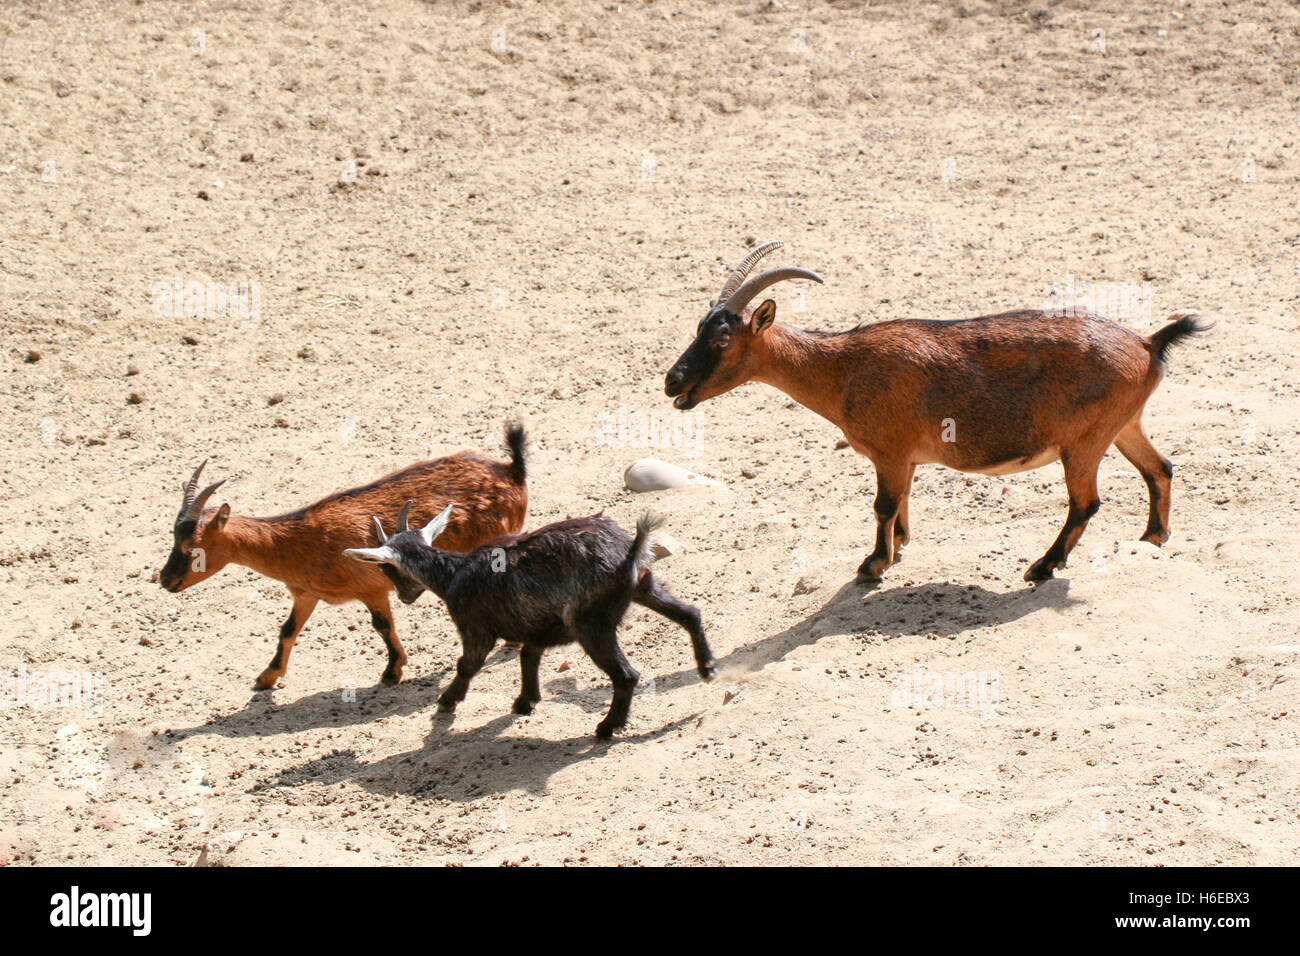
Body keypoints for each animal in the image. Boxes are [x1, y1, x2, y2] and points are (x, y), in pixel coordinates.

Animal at [158, 423, 528, 688]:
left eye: (191, 548)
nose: (165, 580)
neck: (298, 540)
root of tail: (511, 470)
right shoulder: (306, 594)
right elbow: (287, 630)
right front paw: (266, 677)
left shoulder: (372, 589)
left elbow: (381, 625)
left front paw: (392, 671)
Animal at [343, 504, 716, 739]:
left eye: (385, 567)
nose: (404, 596)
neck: (452, 573)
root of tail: (629, 551)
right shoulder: (536, 628)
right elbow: (528, 657)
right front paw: (526, 701)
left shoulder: (475, 627)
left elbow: (467, 664)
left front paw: (447, 701)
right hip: (645, 588)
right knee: (690, 613)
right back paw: (708, 668)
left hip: (591, 623)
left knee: (627, 675)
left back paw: (607, 728)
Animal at [664, 241, 1206, 582]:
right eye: (699, 328)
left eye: (722, 339)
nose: (673, 382)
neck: (843, 367)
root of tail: (1147, 344)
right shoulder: (903, 458)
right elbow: (902, 499)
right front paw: (899, 546)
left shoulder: (889, 452)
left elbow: (882, 504)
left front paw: (872, 565)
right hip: (1123, 425)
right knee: (1160, 468)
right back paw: (1153, 536)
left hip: (1084, 443)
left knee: (1086, 503)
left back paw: (1042, 566)